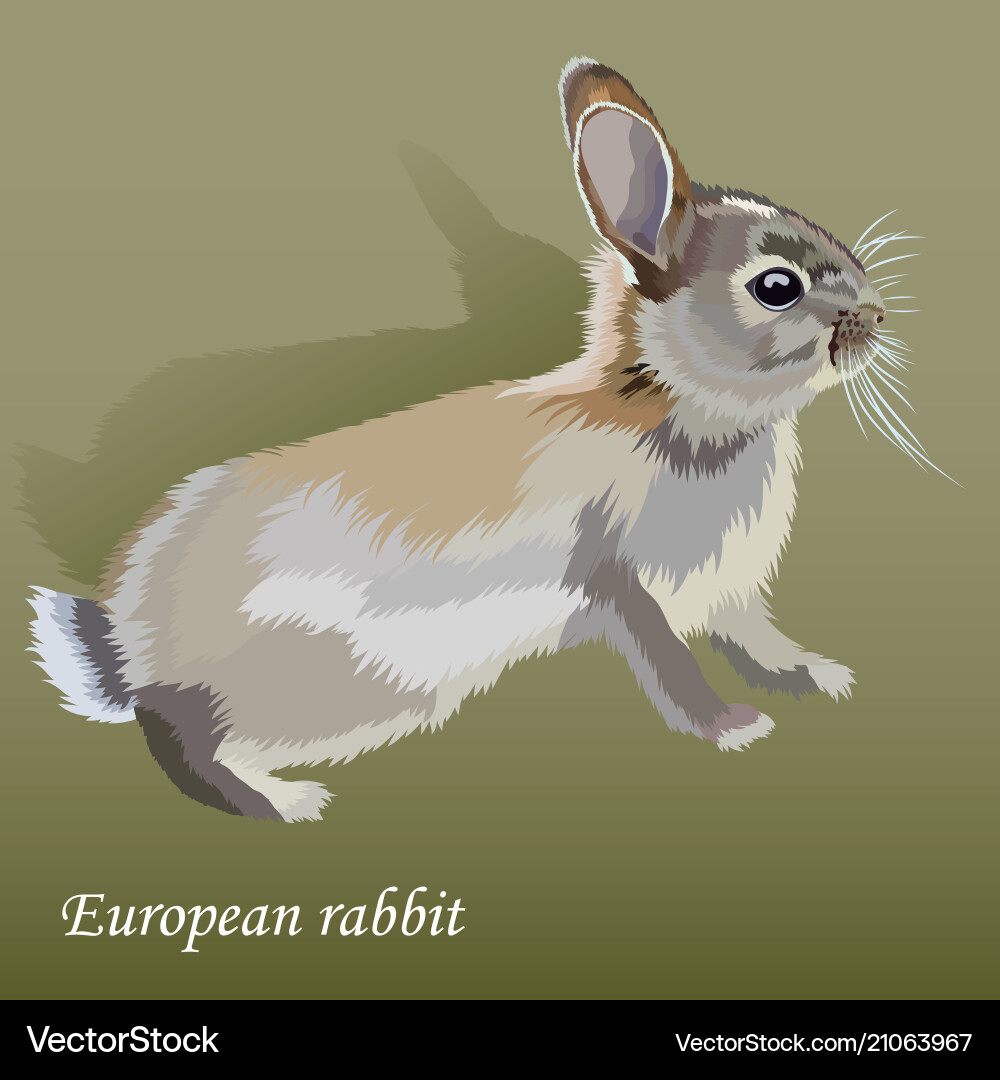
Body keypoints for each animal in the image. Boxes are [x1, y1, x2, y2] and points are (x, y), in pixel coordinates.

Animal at [29, 57, 911, 822]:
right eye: (776, 287)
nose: (874, 316)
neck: (677, 408)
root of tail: (130, 649)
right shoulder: (620, 581)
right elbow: (668, 658)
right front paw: (733, 728)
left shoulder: (730, 588)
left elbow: (758, 636)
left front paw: (820, 674)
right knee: (191, 742)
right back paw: (289, 801)